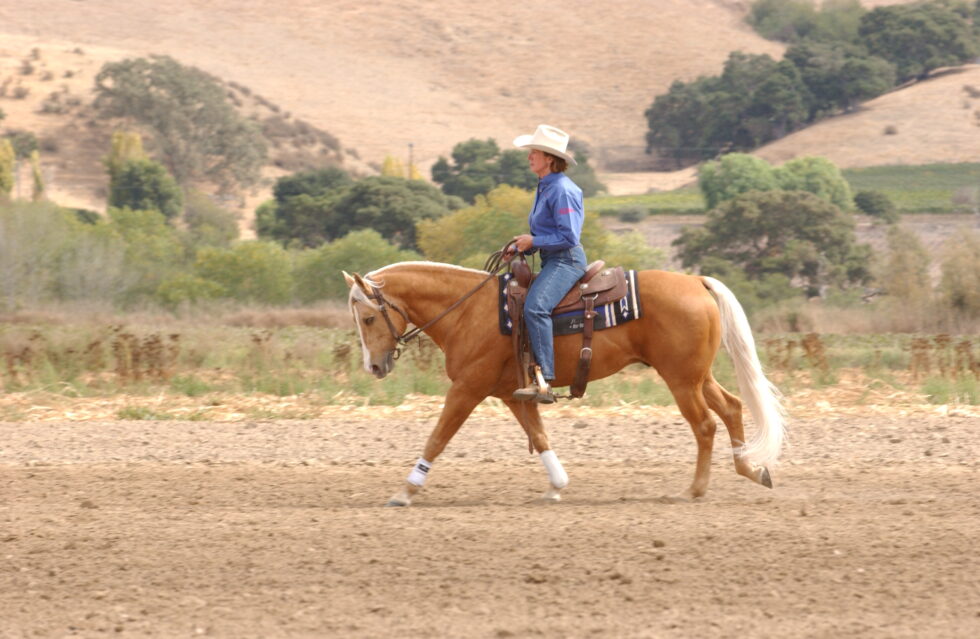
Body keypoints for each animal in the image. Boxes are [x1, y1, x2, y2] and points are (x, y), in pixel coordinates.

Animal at [344, 260, 785, 506]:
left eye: (368, 318)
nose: (374, 366)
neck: (469, 311)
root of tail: (695, 281)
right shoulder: (513, 394)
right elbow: (539, 436)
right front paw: (557, 487)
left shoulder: (467, 389)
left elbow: (437, 437)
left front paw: (405, 491)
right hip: (697, 375)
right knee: (731, 407)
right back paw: (751, 470)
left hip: (681, 379)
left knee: (705, 424)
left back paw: (695, 490)